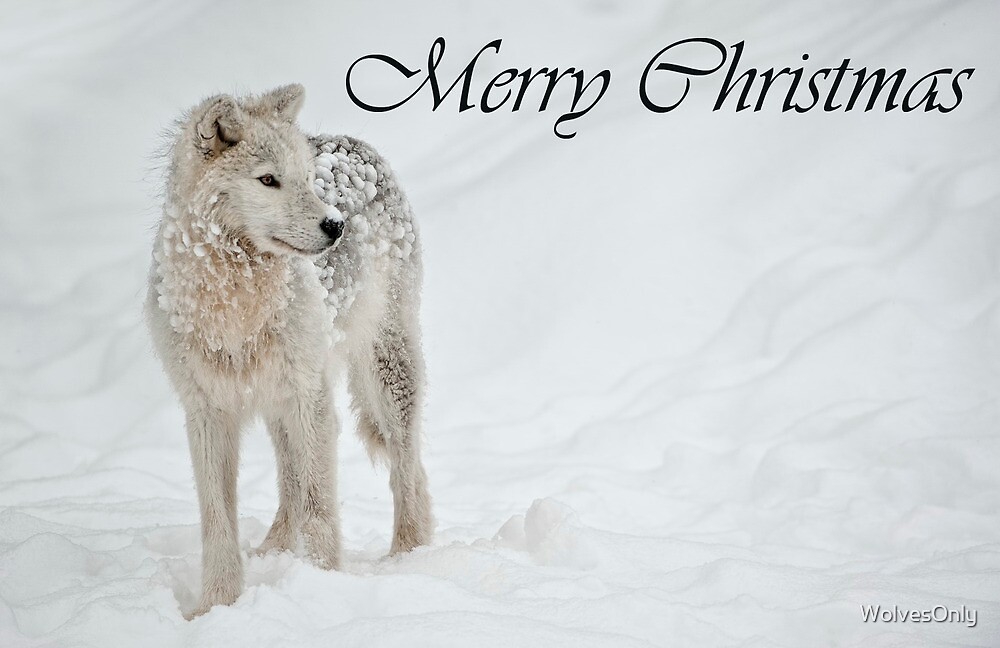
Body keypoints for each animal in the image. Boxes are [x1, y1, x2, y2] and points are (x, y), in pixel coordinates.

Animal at [145, 84, 433, 618]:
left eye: (304, 179)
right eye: (268, 180)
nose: (335, 226)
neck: (235, 297)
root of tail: (354, 141)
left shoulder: (308, 397)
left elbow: (321, 508)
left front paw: (324, 589)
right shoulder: (207, 413)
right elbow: (218, 522)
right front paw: (215, 606)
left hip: (382, 371)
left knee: (408, 467)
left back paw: (410, 553)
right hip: (283, 404)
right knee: (290, 482)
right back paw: (274, 551)